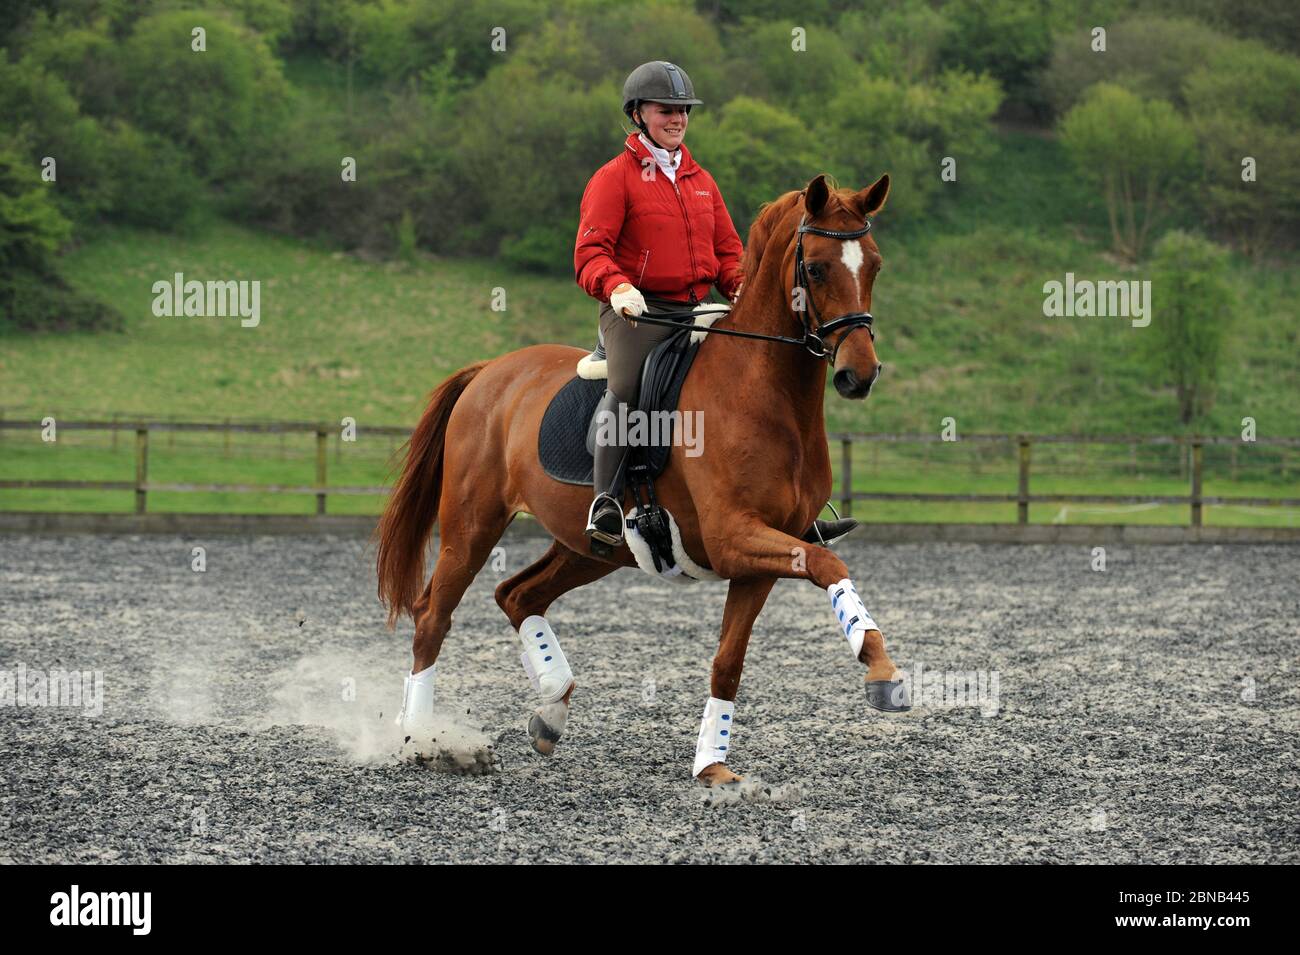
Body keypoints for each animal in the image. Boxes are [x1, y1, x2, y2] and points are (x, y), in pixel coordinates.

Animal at [374, 173, 908, 786]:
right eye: (817, 268)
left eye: (875, 264)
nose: (858, 375)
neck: (763, 390)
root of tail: (491, 372)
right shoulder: (734, 538)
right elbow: (829, 564)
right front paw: (882, 672)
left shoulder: (760, 557)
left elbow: (729, 661)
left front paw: (712, 768)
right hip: (472, 525)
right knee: (433, 617)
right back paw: (419, 737)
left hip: (591, 548)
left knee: (517, 594)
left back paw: (551, 711)